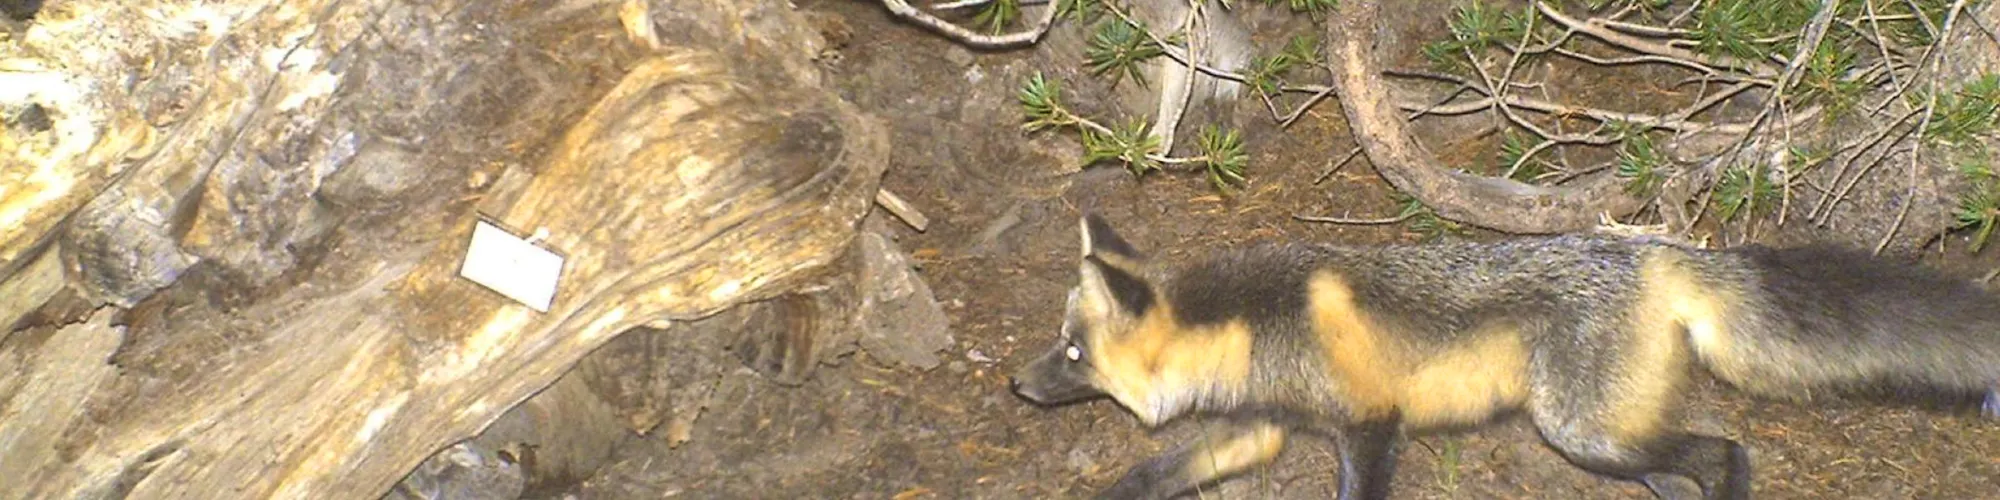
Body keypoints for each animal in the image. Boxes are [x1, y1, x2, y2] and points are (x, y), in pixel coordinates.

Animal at [1009, 212, 2000, 500]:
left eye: (1070, 350)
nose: (1017, 385)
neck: (1254, 324)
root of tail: (1662, 251)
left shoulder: (1370, 427)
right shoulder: (1257, 427)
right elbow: (1145, 478)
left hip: (1581, 432)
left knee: (1726, 454)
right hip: (1611, 441)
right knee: (1686, 470)